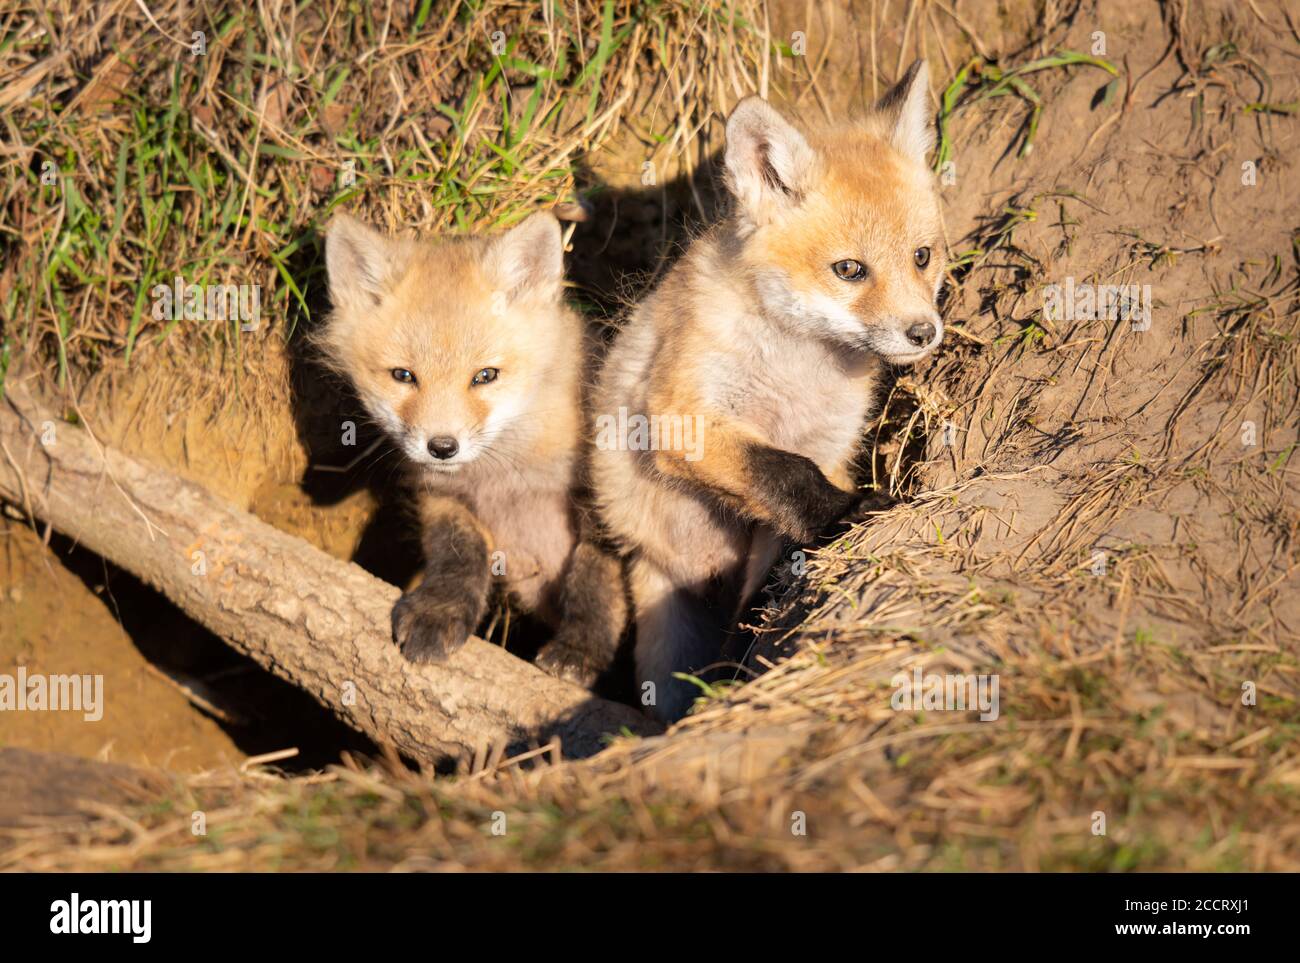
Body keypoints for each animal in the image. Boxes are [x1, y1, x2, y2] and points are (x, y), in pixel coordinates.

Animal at [319, 210, 626, 686]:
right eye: (403, 376)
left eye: (485, 376)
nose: (442, 447)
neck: (505, 476)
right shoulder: (441, 494)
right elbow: (459, 552)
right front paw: (439, 611)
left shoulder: (603, 493)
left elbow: (595, 571)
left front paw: (583, 645)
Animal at [591, 61, 947, 721]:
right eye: (850, 270)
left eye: (921, 256)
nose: (923, 333)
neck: (796, 373)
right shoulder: (684, 418)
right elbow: (784, 472)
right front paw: (854, 512)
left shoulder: (827, 447)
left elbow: (776, 557)